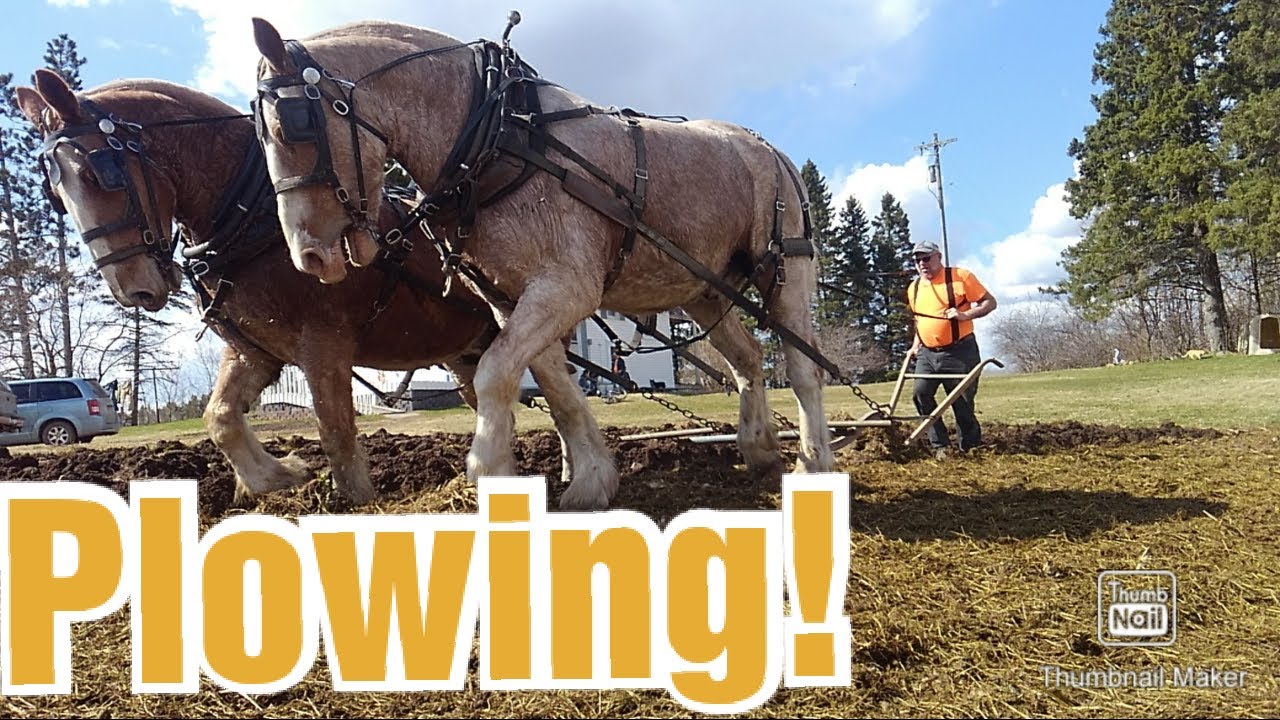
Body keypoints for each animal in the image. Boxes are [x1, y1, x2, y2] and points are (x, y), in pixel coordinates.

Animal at [14, 68, 597, 506]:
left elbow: (336, 431)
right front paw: (279, 476)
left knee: (552, 390)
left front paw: (351, 500)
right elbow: (220, 417)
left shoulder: (324, 344)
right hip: (466, 349)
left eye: (100, 173)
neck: (255, 219)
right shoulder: (254, 351)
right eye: (55, 192)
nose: (132, 290)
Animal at [249, 15, 836, 510]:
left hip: (785, 267)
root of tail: (771, 151)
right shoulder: (512, 298)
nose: (309, 256)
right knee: (748, 362)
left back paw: (813, 466)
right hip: (705, 289)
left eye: (292, 126)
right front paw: (592, 480)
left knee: (803, 368)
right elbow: (556, 387)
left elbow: (495, 374)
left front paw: (490, 472)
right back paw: (760, 451)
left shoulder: (566, 287)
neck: (501, 136)